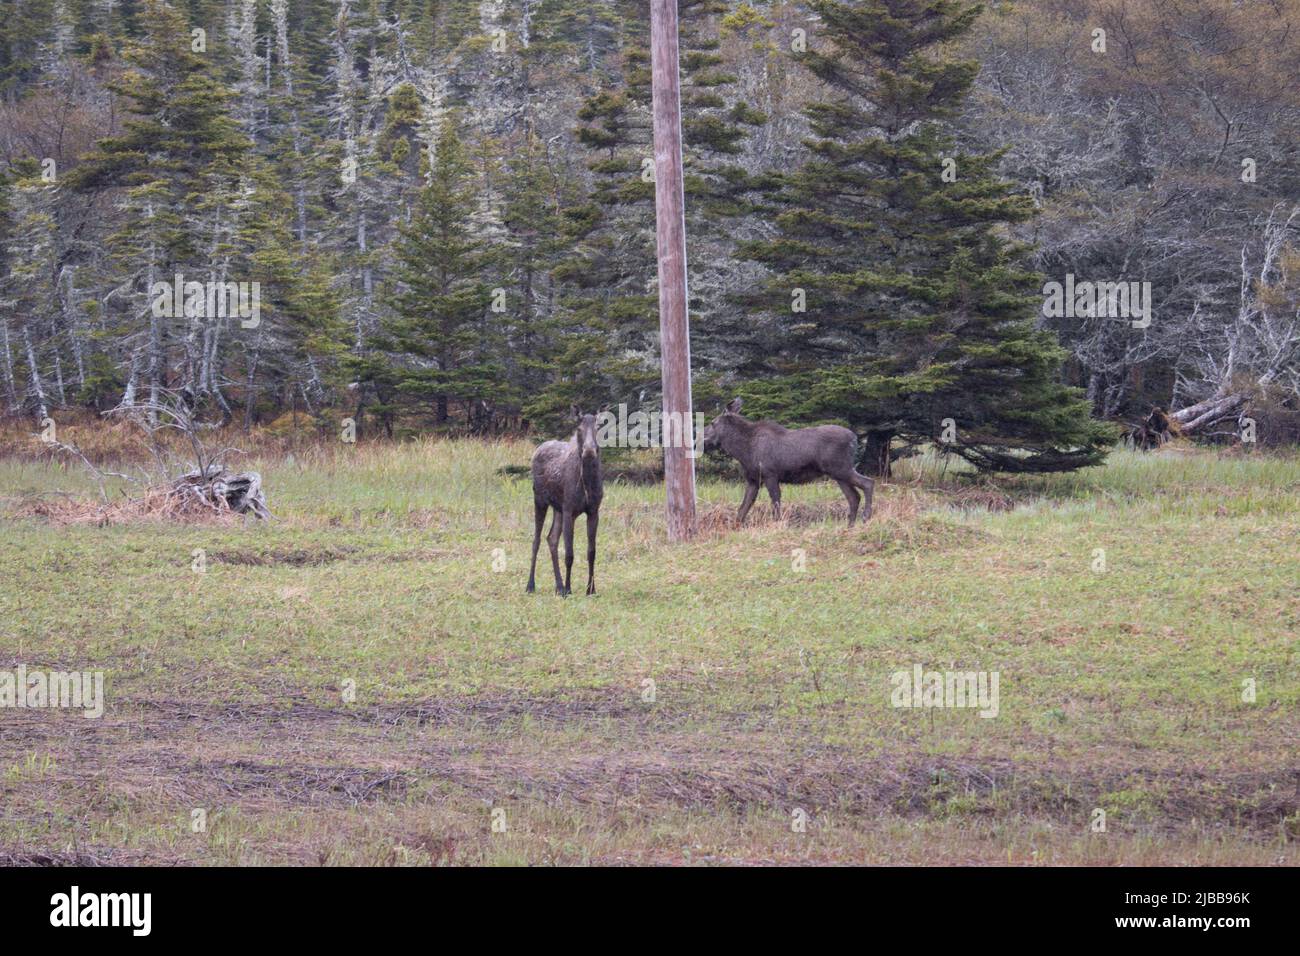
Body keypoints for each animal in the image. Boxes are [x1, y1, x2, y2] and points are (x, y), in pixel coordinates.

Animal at [527, 406, 604, 596]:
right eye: (579, 428)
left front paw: (590, 589)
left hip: (558, 508)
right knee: (536, 540)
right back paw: (531, 585)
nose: (589, 451)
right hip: (540, 500)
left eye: (598, 427)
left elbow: (592, 552)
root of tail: (538, 448)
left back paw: (558, 585)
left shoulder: (593, 511)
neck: (587, 481)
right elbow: (569, 554)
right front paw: (569, 589)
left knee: (551, 538)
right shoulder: (570, 511)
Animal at [701, 398, 875, 526]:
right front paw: (734, 528)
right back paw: (850, 525)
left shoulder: (770, 475)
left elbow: (775, 503)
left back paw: (866, 518)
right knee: (854, 497)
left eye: (712, 423)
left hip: (841, 468)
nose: (700, 436)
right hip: (838, 474)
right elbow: (743, 508)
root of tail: (854, 438)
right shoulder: (753, 480)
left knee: (868, 483)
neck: (742, 451)